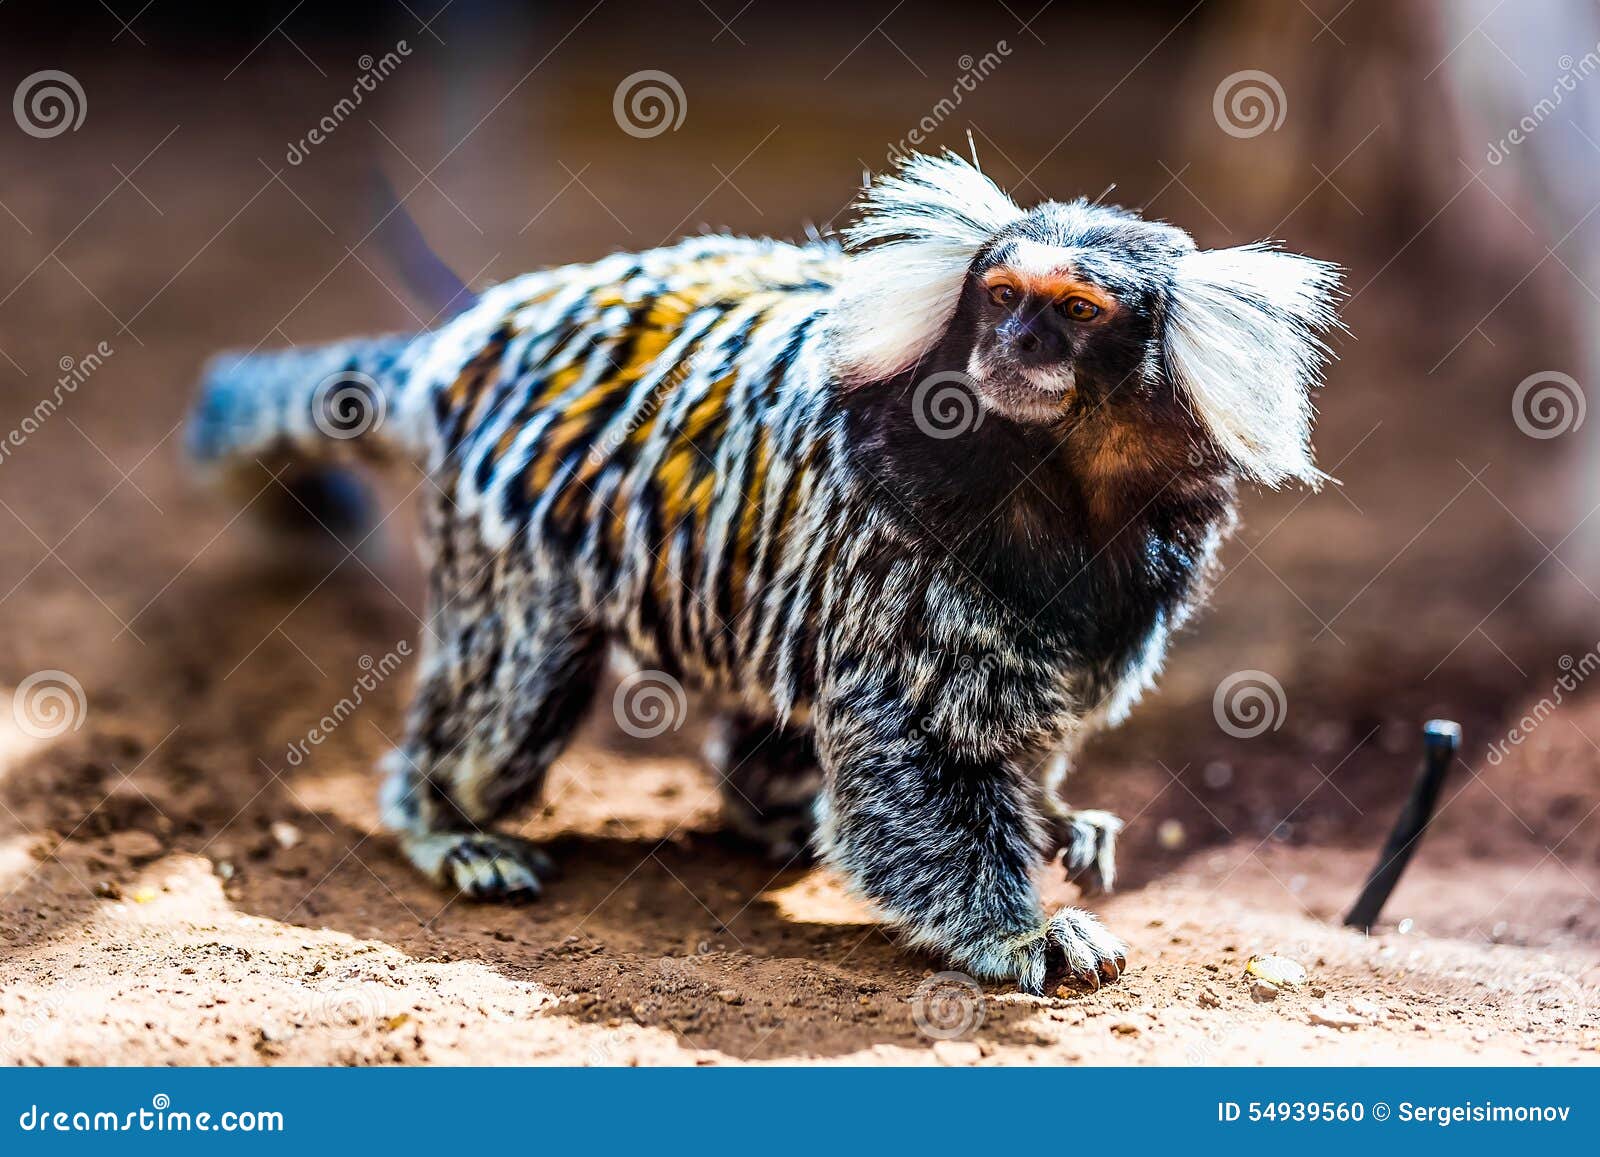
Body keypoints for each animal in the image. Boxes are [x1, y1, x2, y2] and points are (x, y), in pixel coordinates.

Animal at [186, 152, 1339, 994]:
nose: (1013, 342)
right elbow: (918, 746)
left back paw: (777, 811)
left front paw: (1054, 812)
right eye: (1004, 293)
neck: (1059, 477)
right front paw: (1018, 930)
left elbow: (1035, 713)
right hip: (510, 538)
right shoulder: (904, 541)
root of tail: (476, 334)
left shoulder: (1129, 582)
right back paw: (446, 819)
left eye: (1078, 312)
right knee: (512, 699)